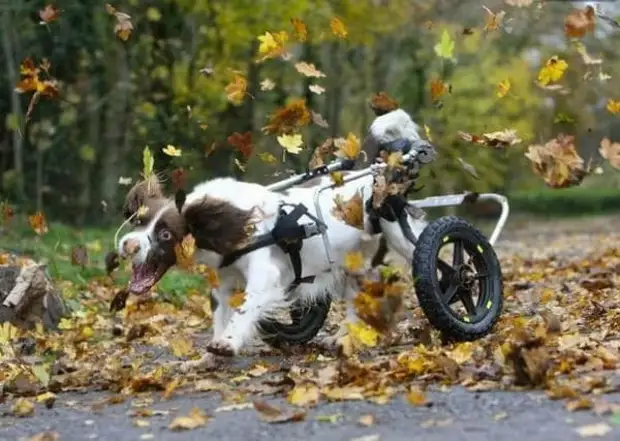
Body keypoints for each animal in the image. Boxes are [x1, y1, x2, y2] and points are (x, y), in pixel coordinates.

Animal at [115, 170, 426, 370]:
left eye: (166, 234)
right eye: (138, 221)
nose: (127, 245)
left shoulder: (265, 274)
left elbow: (245, 309)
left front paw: (226, 345)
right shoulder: (224, 281)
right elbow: (222, 316)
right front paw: (209, 358)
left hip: (397, 234)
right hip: (352, 265)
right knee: (355, 301)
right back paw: (343, 339)